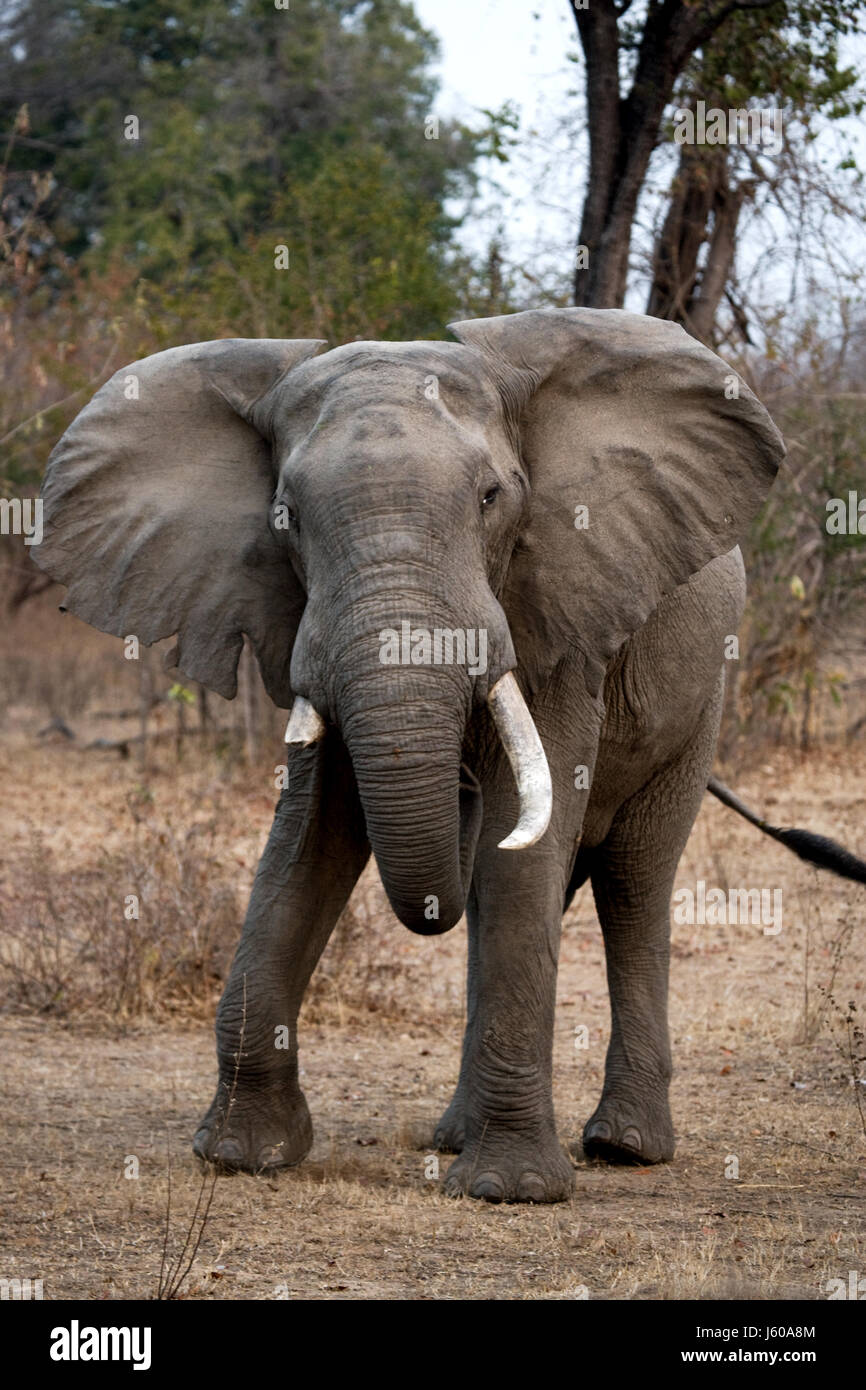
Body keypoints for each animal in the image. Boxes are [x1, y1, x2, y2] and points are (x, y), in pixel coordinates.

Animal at [36, 305, 820, 1203]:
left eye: (491, 498)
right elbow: (311, 836)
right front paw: (241, 1153)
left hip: (703, 697)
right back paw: (453, 1135)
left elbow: (523, 837)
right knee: (501, 886)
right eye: (285, 516)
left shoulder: (558, 609)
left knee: (632, 881)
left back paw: (623, 1145)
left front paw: (510, 1189)